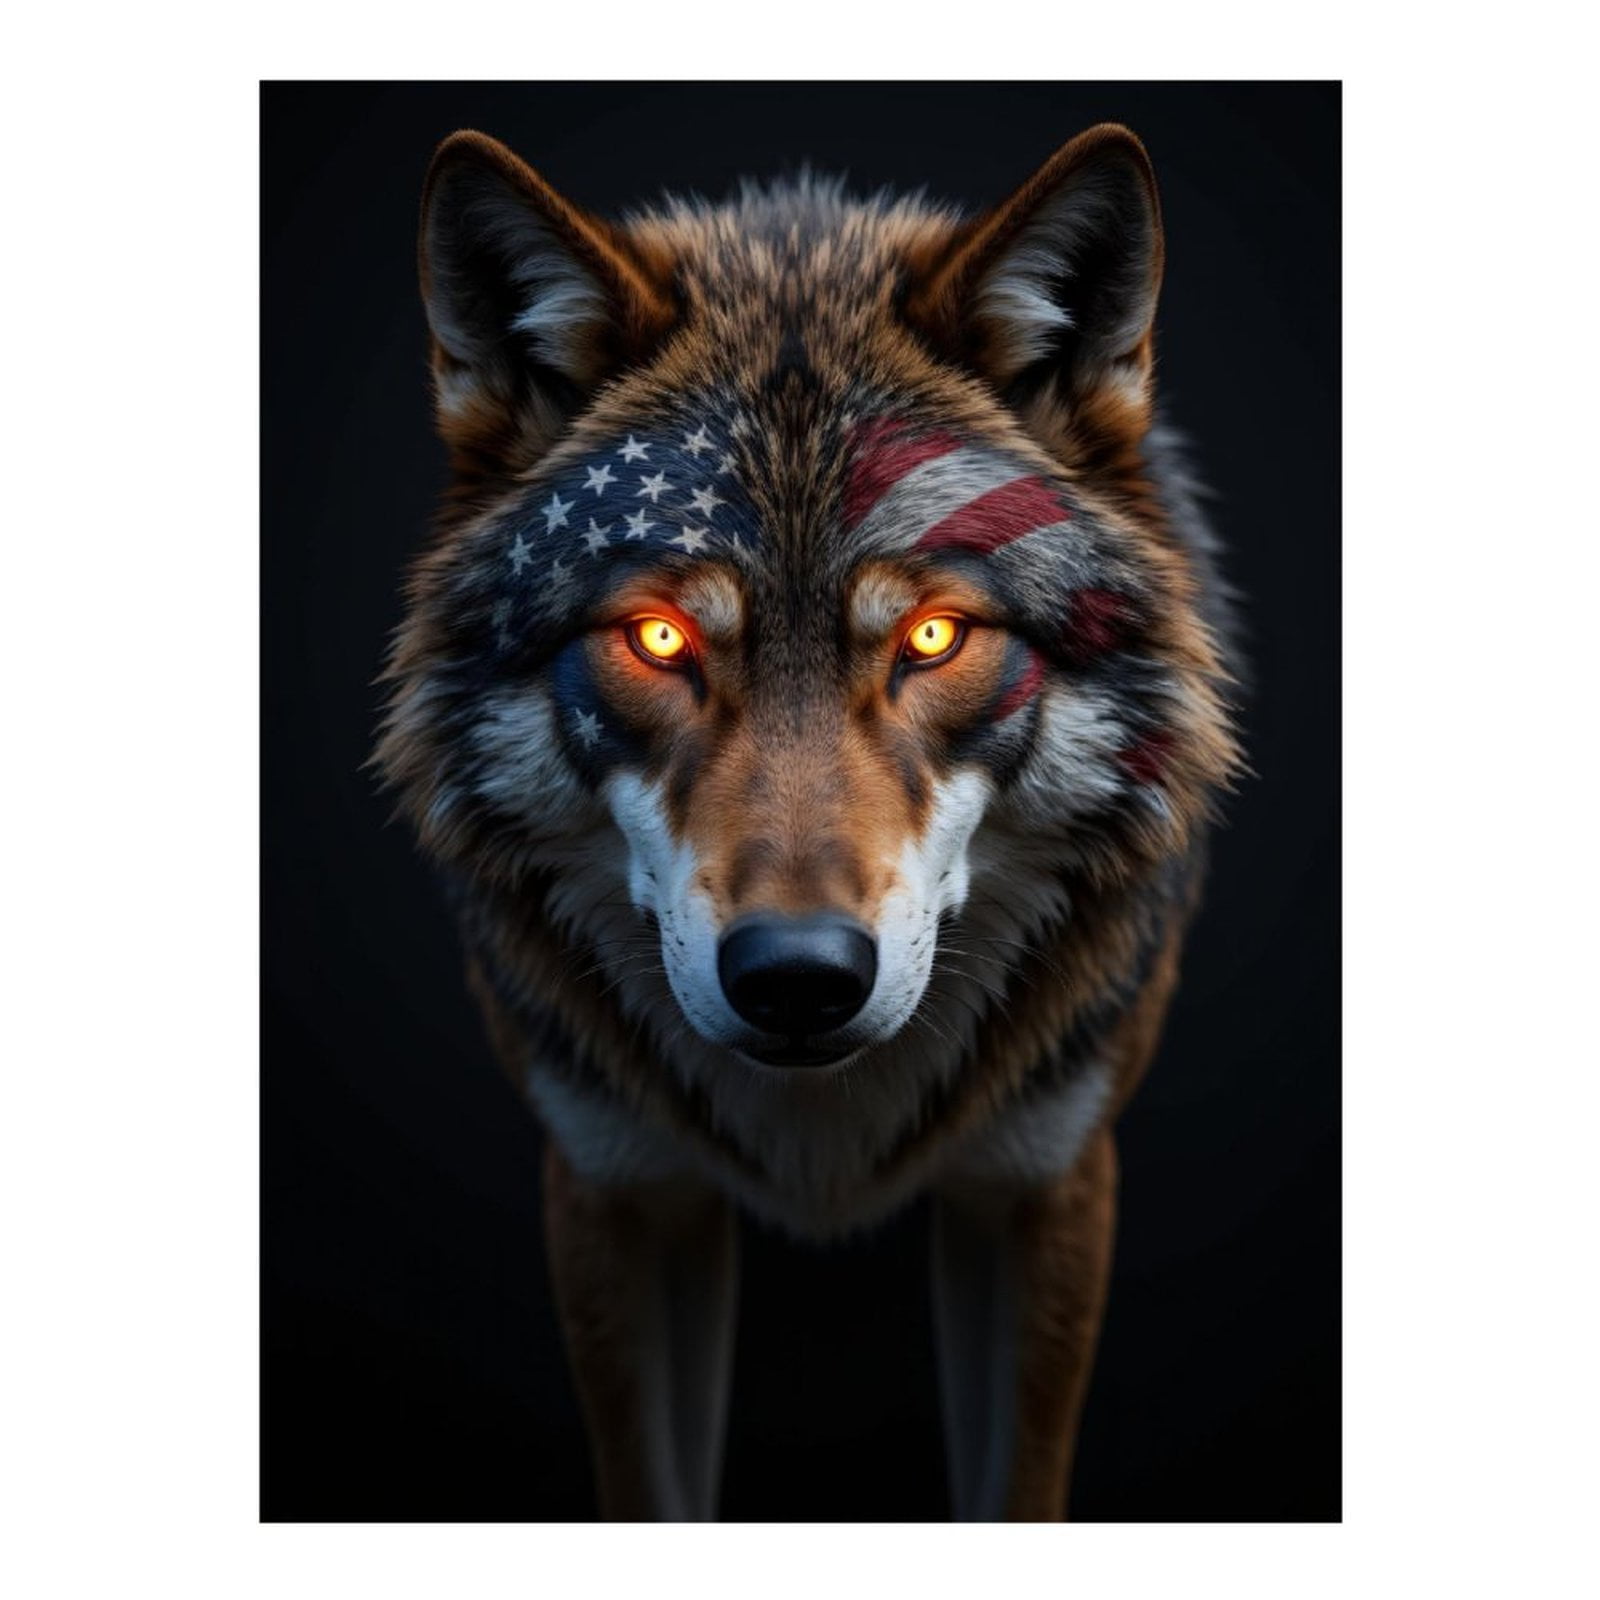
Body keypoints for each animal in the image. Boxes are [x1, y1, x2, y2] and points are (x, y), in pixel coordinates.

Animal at [375, 121, 1241, 1521]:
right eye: (657, 637)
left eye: (933, 636)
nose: (796, 977)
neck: (819, 1144)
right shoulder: (616, 1183)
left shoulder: (1043, 1178)